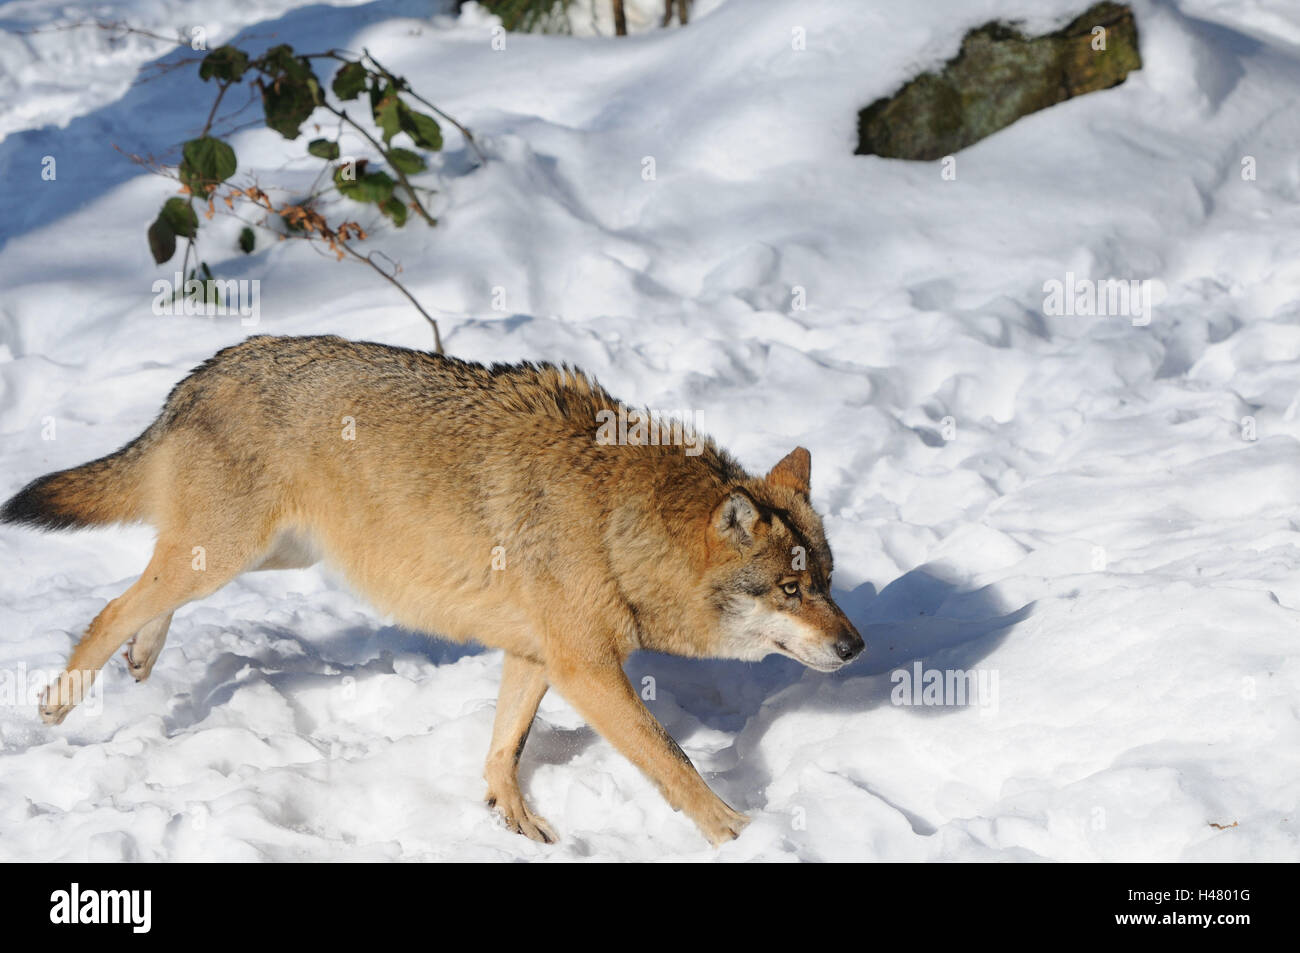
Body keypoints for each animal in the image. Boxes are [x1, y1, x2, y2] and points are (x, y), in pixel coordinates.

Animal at [1, 335, 864, 846]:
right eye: (789, 587)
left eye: (825, 580)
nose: (857, 645)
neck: (617, 522)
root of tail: (202, 371)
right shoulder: (586, 667)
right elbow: (673, 761)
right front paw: (738, 833)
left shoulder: (540, 655)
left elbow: (503, 746)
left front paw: (511, 817)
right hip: (228, 554)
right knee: (114, 604)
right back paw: (60, 700)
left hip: (268, 556)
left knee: (146, 591)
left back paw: (144, 657)